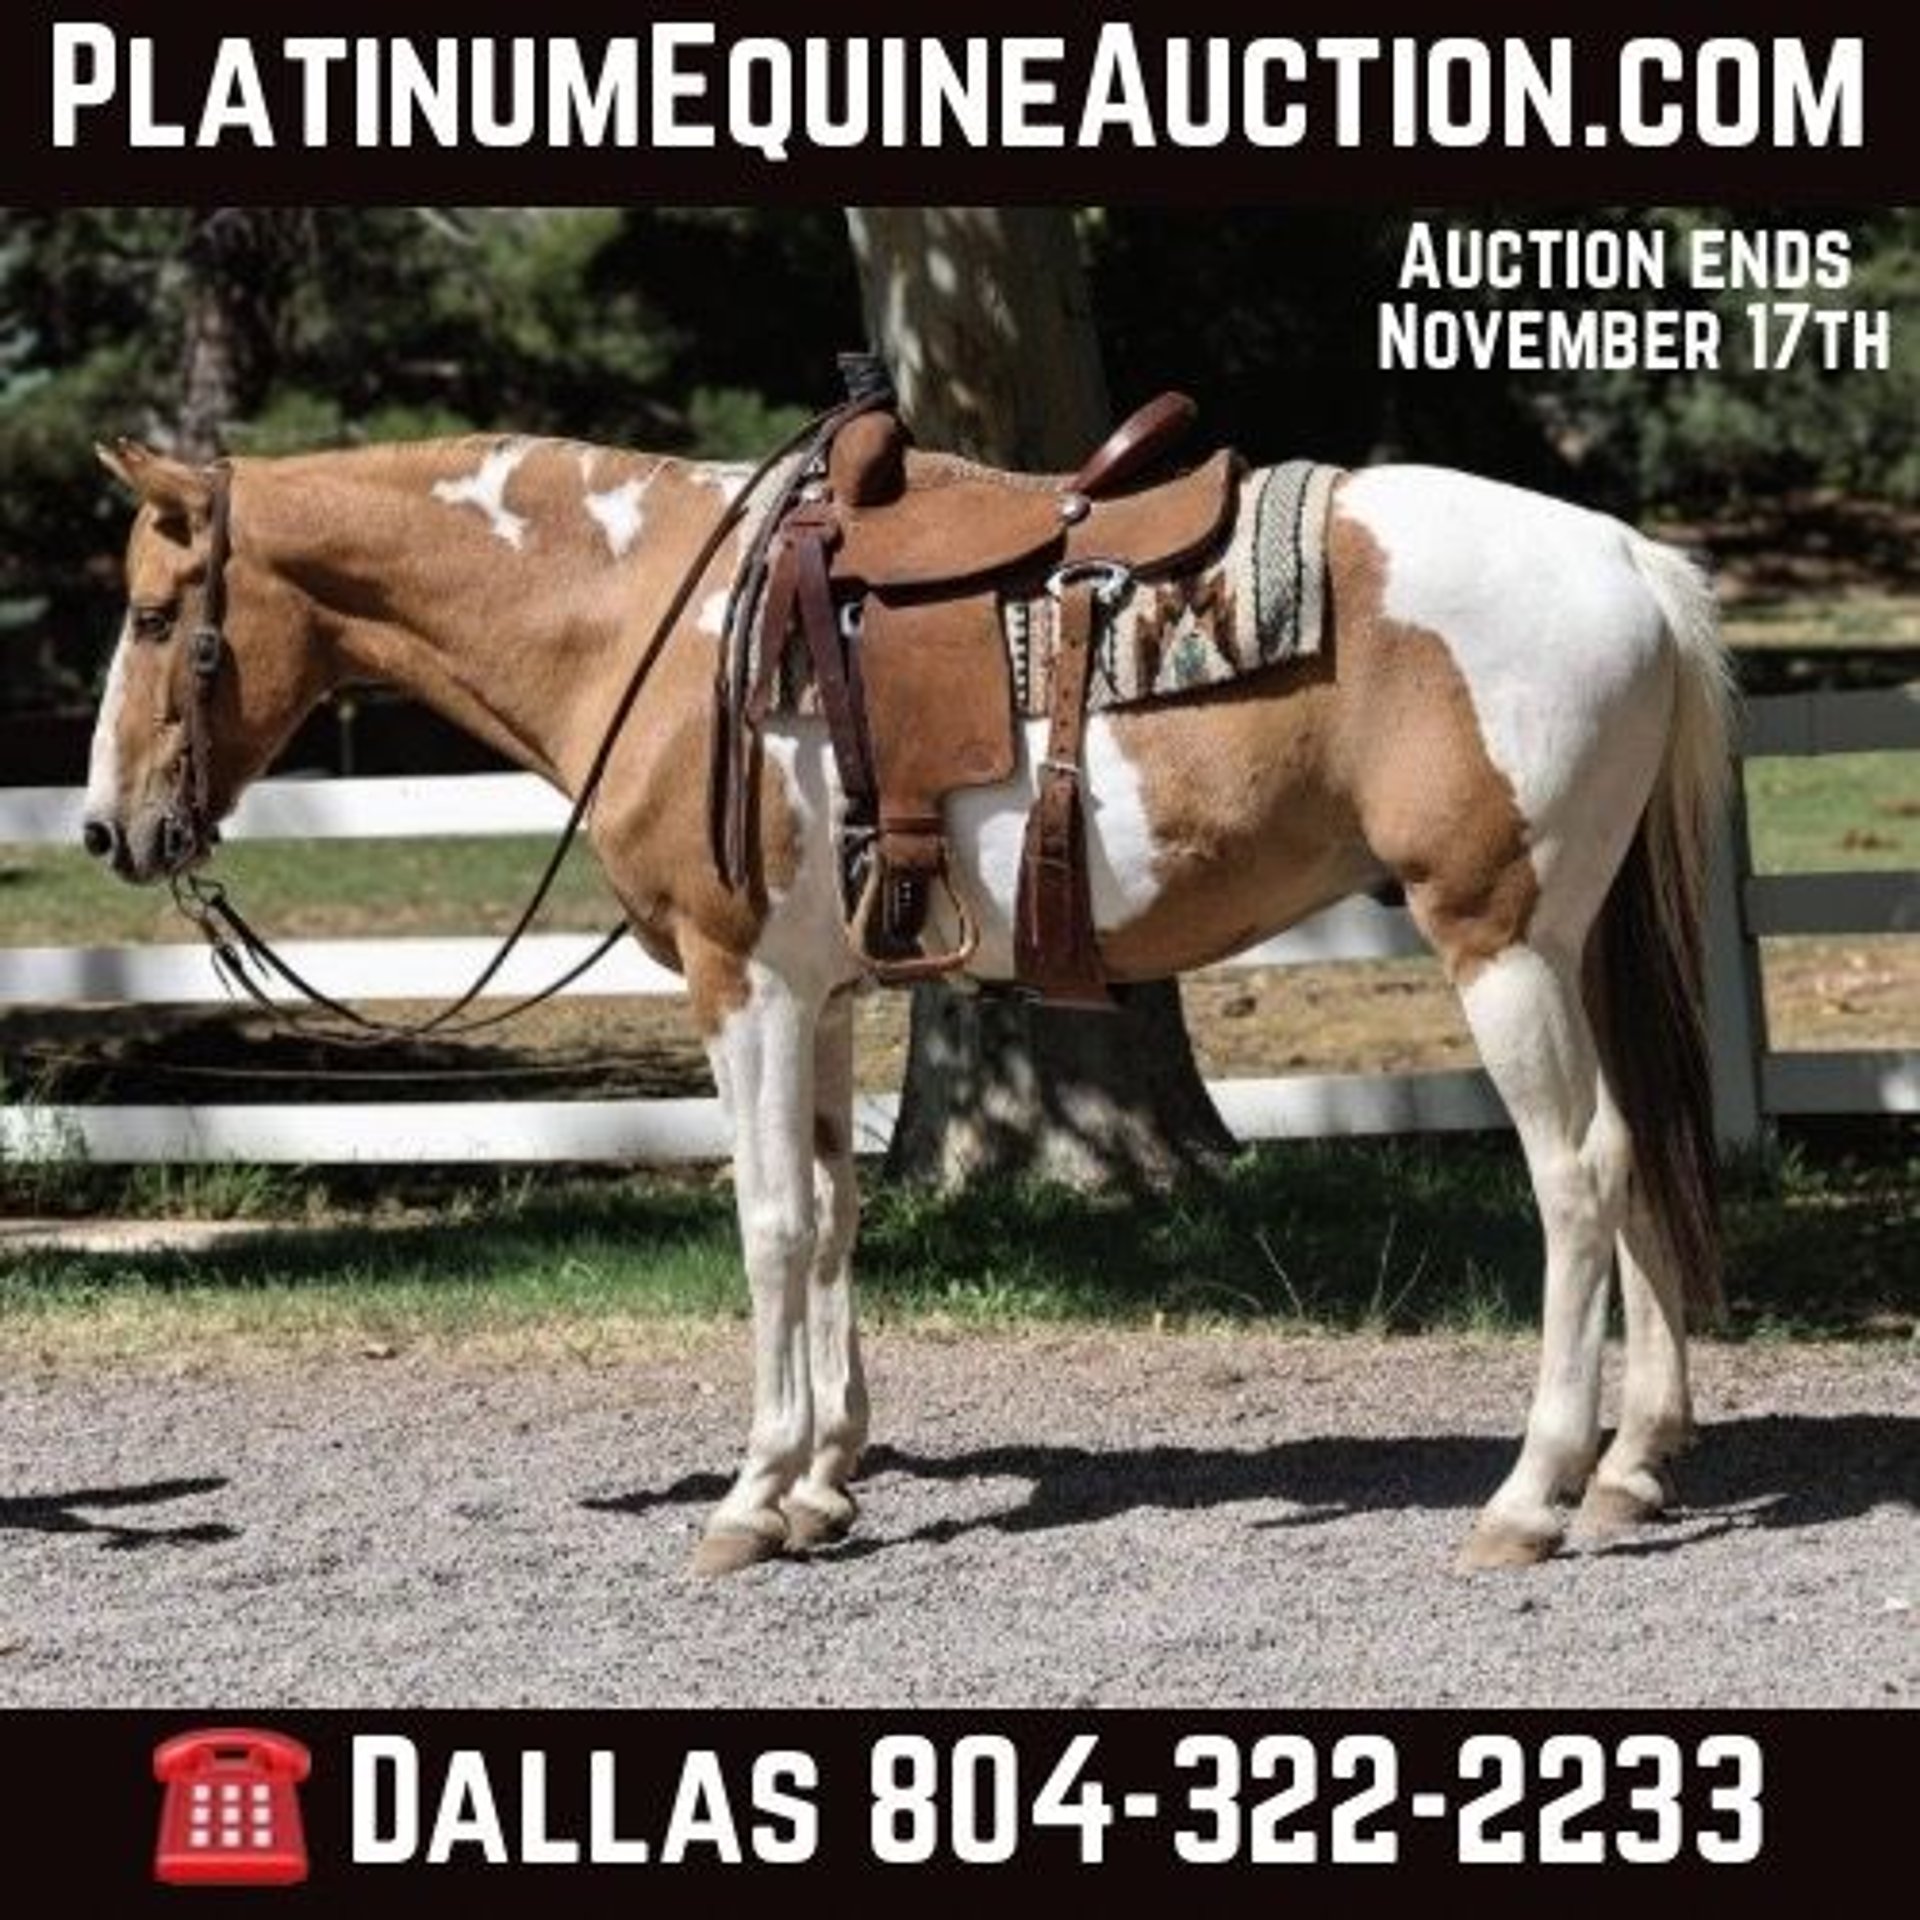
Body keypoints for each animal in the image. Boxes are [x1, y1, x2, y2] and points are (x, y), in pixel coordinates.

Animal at [82, 427, 1732, 1574]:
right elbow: (832, 1211)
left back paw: (1529, 1498)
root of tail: (1626, 560)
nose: (107, 832)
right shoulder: (820, 992)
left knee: (1577, 1174)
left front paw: (751, 1499)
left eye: (158, 615)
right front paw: (823, 1482)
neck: (652, 623)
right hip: (1575, 941)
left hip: (1497, 938)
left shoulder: (740, 980)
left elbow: (767, 1222)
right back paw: (1633, 1471)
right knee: (1643, 1148)